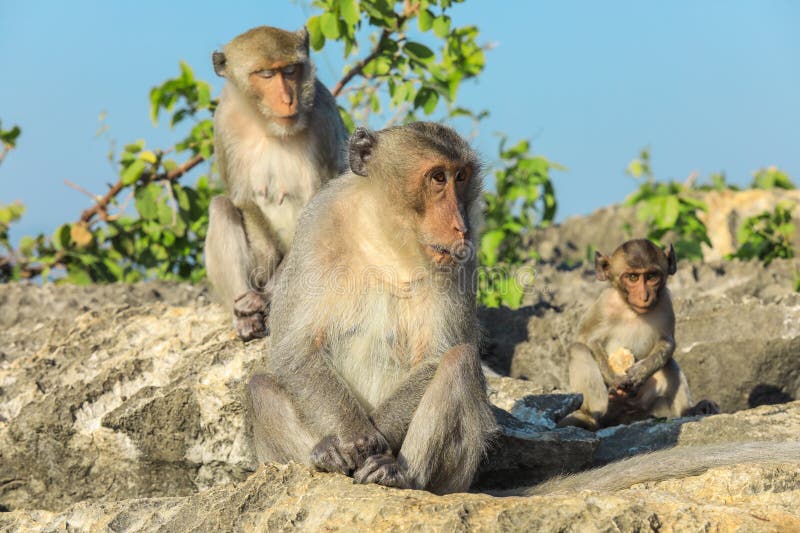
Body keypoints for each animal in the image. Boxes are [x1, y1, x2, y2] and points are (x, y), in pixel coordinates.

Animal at [204, 26, 348, 340]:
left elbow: (320, 204)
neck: (267, 126)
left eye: (291, 70)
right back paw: (246, 317)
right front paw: (262, 280)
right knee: (221, 206)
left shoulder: (324, 117)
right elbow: (242, 199)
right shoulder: (224, 122)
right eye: (266, 74)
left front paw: (268, 294)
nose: (287, 99)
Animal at [247, 122, 497, 494]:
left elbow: (436, 356)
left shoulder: (463, 260)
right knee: (260, 386)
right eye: (438, 178)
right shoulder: (317, 223)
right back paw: (323, 456)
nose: (460, 225)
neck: (386, 241)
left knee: (460, 361)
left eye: (462, 177)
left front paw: (372, 442)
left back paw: (398, 475)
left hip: (452, 482)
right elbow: (295, 350)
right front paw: (353, 437)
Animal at [557, 239, 719, 431]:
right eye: (633, 277)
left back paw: (689, 410)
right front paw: (614, 378)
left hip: (644, 403)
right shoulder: (604, 303)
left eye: (651, 276)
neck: (631, 310)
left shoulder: (665, 302)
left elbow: (667, 342)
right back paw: (591, 417)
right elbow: (586, 339)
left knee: (669, 363)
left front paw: (640, 372)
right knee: (578, 349)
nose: (644, 296)